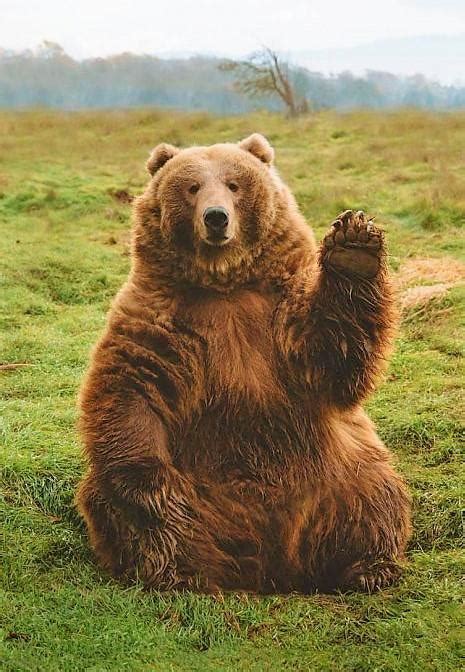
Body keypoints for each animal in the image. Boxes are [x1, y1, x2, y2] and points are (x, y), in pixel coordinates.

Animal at [76, 133, 411, 593]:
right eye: (192, 186)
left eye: (234, 184)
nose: (216, 218)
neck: (225, 284)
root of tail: (270, 564)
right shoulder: (159, 318)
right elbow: (130, 387)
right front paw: (150, 485)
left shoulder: (281, 314)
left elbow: (334, 355)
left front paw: (354, 246)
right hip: (202, 493)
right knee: (133, 516)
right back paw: (179, 572)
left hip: (336, 474)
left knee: (373, 495)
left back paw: (367, 568)